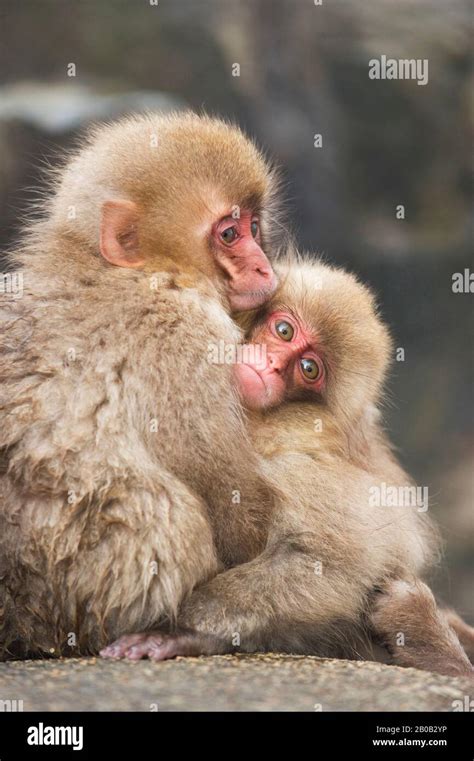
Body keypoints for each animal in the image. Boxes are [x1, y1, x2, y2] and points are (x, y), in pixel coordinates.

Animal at [102, 257, 473, 678]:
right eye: (284, 330)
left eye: (309, 368)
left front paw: (181, 630)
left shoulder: (298, 452)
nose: (272, 365)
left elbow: (340, 557)